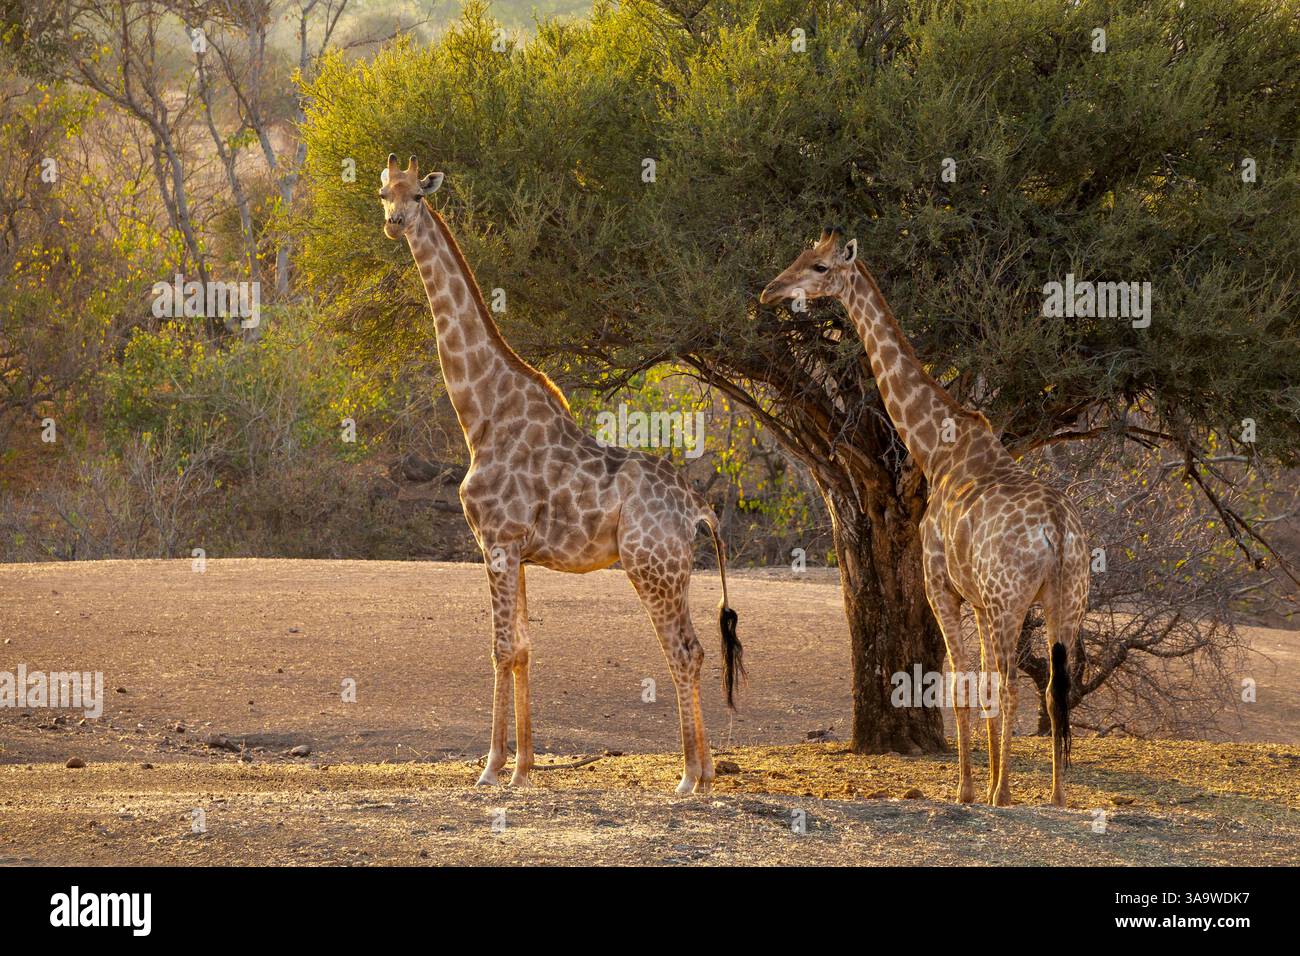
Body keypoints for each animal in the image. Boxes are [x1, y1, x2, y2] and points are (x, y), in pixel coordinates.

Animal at [378, 155, 743, 795]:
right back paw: (698, 773)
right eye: (382, 193)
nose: (395, 223)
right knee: (695, 650)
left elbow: (500, 648)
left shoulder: (496, 541)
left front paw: (490, 769)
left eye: (417, 195)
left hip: (650, 569)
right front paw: (524, 768)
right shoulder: (515, 550)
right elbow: (524, 647)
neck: (480, 414)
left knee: (683, 651)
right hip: (677, 573)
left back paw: (688, 778)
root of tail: (698, 508)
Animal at [760, 228, 1087, 807]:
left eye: (820, 267)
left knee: (1012, 686)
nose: (770, 292)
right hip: (1065, 601)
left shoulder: (942, 587)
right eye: (801, 256)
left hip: (1010, 602)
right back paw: (1054, 797)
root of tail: (1059, 529)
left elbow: (960, 687)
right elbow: (981, 686)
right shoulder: (976, 598)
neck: (937, 449)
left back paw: (1004, 795)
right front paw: (986, 785)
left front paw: (968, 791)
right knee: (1053, 690)